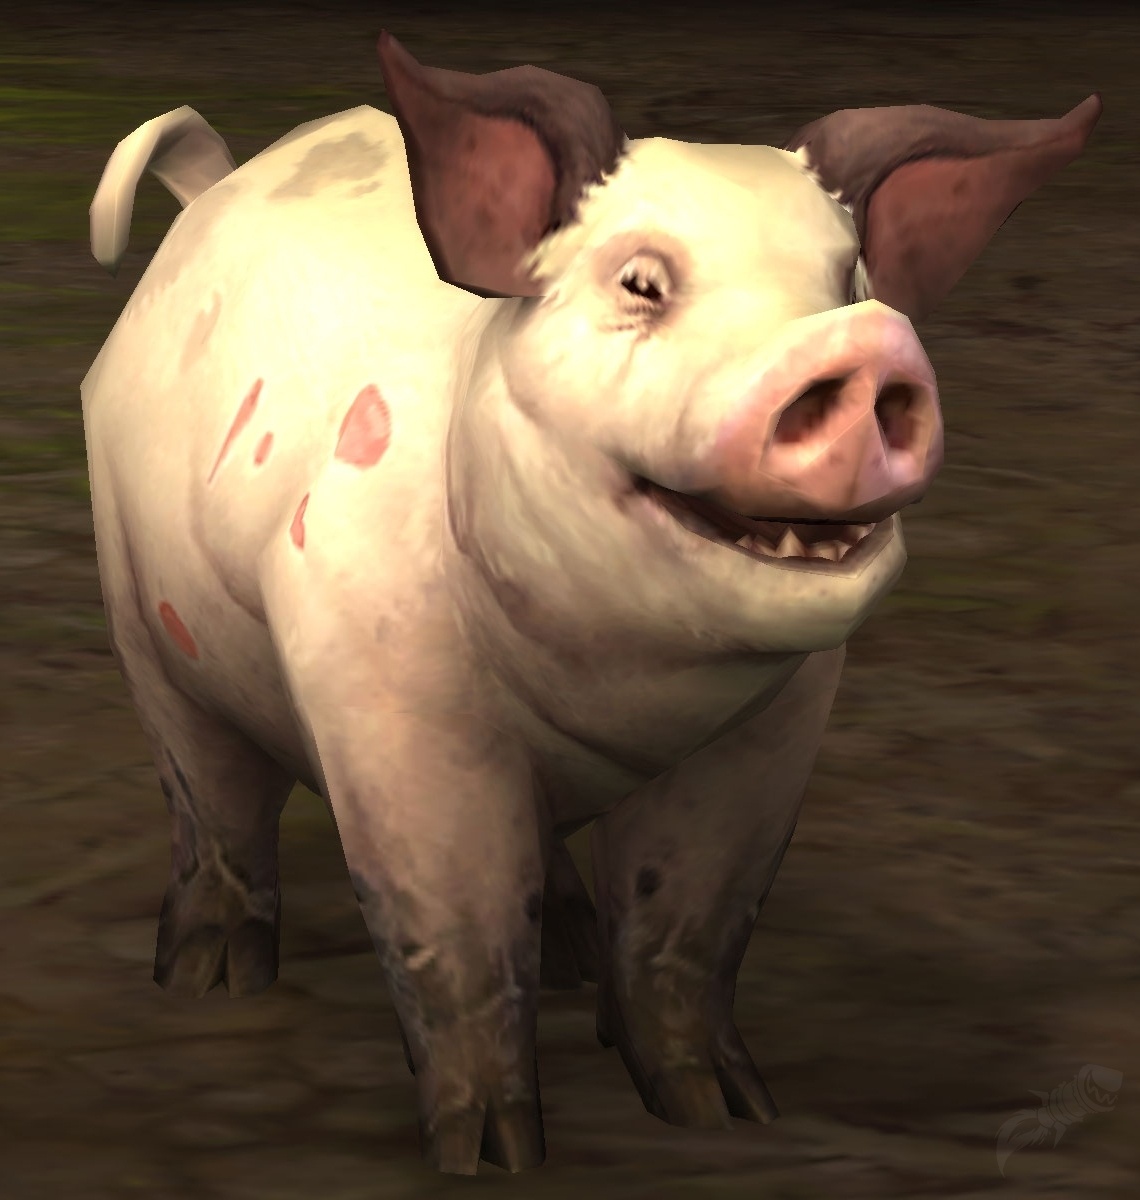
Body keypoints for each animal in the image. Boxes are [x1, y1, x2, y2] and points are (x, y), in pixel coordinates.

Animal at [81, 31, 1100, 1174]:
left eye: (851, 279)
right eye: (642, 281)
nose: (864, 345)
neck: (620, 693)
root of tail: (214, 188)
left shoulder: (772, 727)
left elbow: (686, 920)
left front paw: (726, 1117)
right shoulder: (384, 691)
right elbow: (454, 927)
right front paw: (492, 1162)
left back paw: (568, 955)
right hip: (136, 608)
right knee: (211, 798)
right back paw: (208, 984)